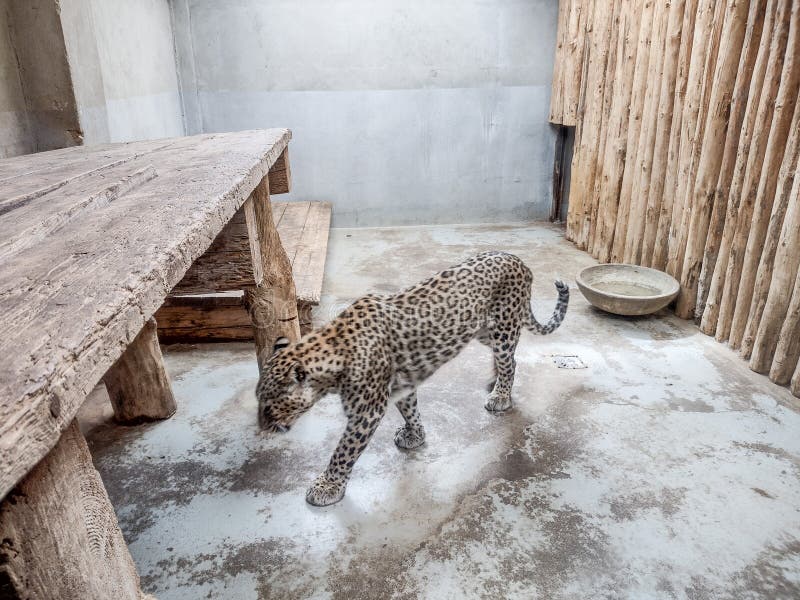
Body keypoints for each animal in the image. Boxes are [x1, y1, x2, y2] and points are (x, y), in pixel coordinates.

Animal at [255, 251, 569, 506]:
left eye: (269, 405)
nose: (261, 428)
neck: (332, 352)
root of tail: (518, 260)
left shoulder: (366, 412)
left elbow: (343, 451)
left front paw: (327, 486)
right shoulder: (401, 385)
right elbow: (411, 410)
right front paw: (415, 436)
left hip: (503, 326)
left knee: (509, 359)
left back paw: (501, 395)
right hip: (483, 331)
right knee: (509, 359)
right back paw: (495, 383)